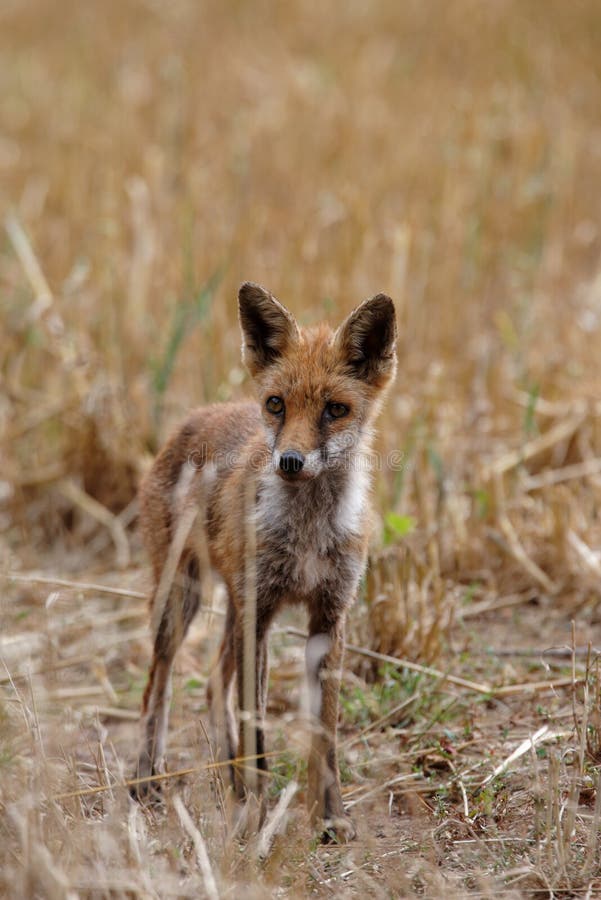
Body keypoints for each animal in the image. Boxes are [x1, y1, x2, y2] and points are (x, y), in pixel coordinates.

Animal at [132, 282, 397, 842]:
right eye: (277, 404)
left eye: (335, 409)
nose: (290, 462)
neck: (308, 534)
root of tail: (195, 416)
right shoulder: (260, 615)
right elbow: (258, 729)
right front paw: (255, 820)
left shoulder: (329, 616)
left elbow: (325, 733)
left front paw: (331, 818)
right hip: (181, 604)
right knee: (157, 689)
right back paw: (147, 778)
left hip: (233, 610)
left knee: (214, 684)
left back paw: (229, 778)